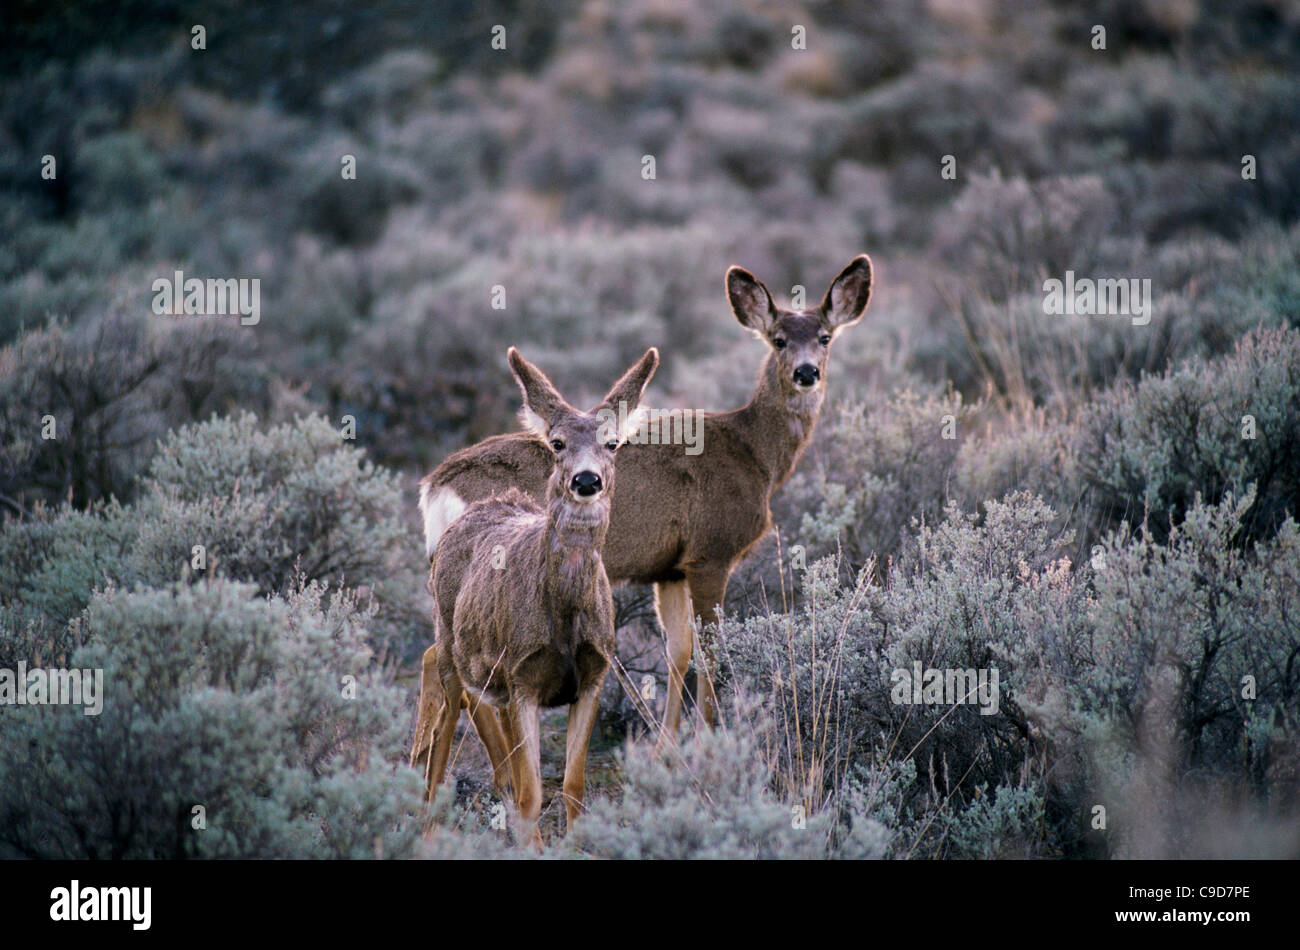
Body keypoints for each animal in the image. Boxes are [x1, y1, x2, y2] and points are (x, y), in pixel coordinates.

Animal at [413, 254, 873, 759]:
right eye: (779, 339)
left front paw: (665, 750)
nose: (806, 373)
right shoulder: (711, 552)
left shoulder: (669, 568)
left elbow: (679, 650)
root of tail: (435, 485)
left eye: (825, 337)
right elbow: (711, 650)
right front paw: (708, 743)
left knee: (436, 660)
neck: (756, 454)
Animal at [420, 345, 659, 847]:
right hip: (453, 645)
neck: (564, 615)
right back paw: (428, 825)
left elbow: (573, 785)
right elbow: (533, 792)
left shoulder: (593, 674)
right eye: (557, 443)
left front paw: (575, 846)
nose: (586, 481)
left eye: (612, 443)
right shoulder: (523, 679)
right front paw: (532, 845)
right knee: (444, 727)